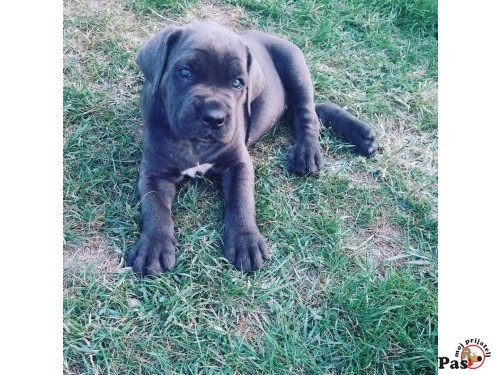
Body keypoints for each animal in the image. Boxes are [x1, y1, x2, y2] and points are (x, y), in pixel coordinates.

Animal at [127, 22, 376, 278]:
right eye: (185, 72)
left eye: (238, 83)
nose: (214, 117)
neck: (195, 144)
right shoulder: (154, 173)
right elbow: (154, 205)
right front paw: (154, 246)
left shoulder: (239, 164)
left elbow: (241, 199)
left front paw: (245, 241)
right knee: (316, 110)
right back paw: (363, 136)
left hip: (296, 67)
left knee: (308, 112)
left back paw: (310, 152)